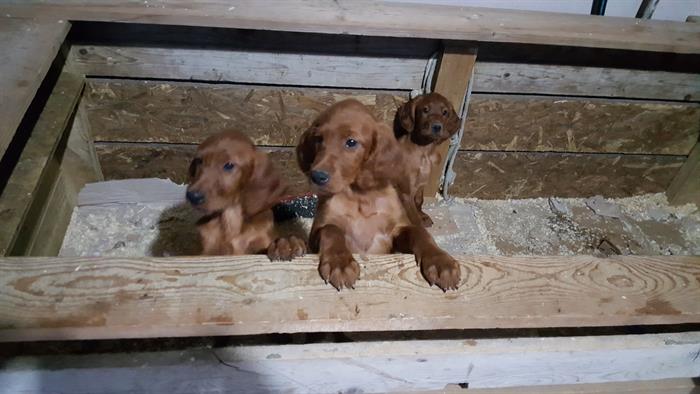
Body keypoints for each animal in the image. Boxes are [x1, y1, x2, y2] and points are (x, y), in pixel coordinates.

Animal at [187, 129, 304, 258]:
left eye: (229, 165)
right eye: (199, 161)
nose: (192, 196)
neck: (231, 220)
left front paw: (286, 245)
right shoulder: (206, 252)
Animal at [396, 92, 462, 226]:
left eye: (445, 112)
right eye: (425, 110)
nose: (437, 127)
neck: (423, 151)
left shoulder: (421, 184)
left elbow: (419, 201)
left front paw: (422, 216)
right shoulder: (406, 191)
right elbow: (413, 216)